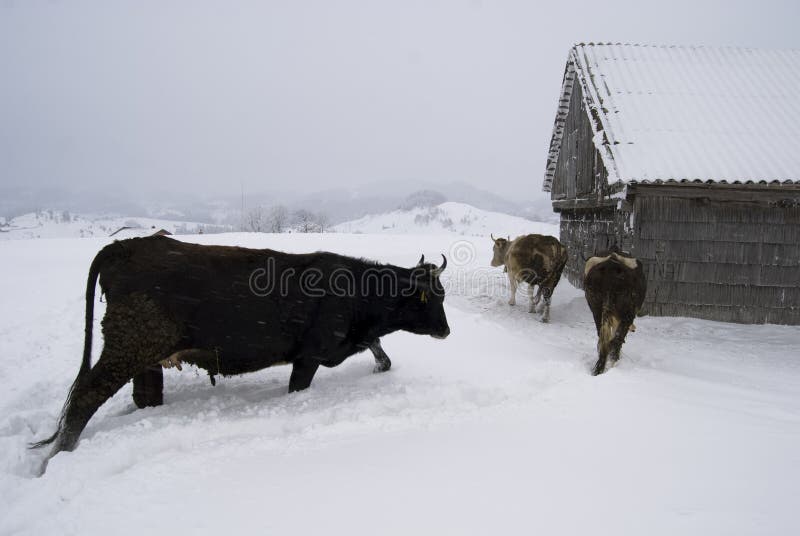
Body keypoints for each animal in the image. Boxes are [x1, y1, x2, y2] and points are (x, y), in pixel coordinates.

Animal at [31, 236, 450, 467]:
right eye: (433, 298)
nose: (447, 331)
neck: (358, 293)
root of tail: (125, 246)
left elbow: (379, 348)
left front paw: (382, 367)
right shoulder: (309, 356)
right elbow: (300, 388)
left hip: (146, 359)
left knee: (143, 395)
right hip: (128, 346)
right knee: (86, 395)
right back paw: (56, 457)